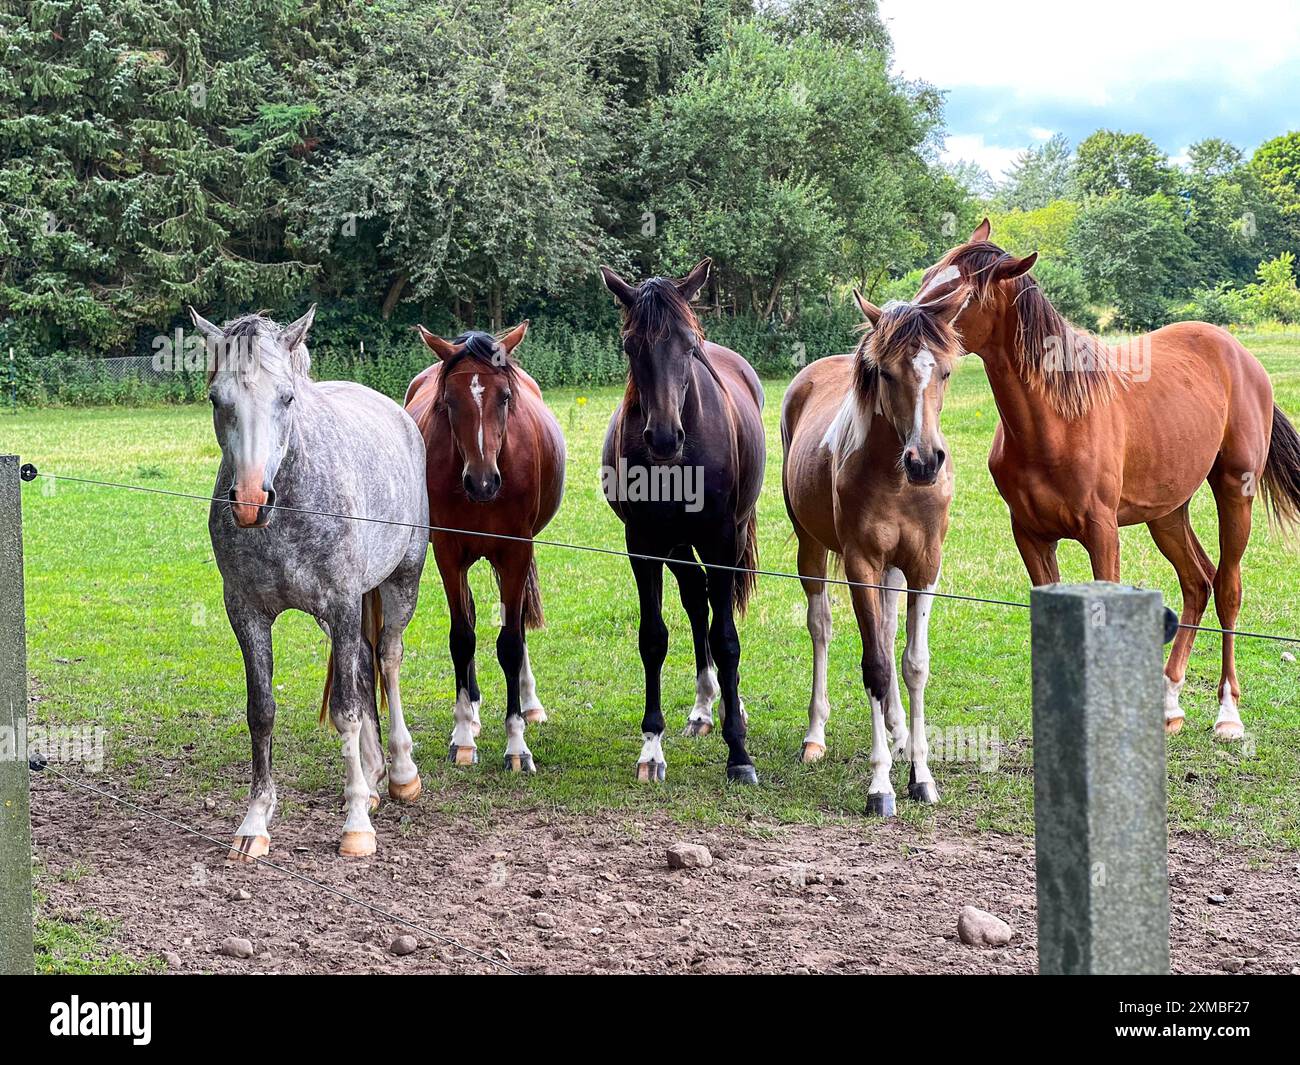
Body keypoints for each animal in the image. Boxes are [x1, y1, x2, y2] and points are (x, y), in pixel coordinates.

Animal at [191, 305, 429, 861]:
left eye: (287, 397)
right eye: (217, 399)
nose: (251, 501)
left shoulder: (341, 603)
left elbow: (346, 711)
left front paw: (357, 824)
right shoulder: (247, 613)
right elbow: (262, 711)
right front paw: (255, 822)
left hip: (402, 580)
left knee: (388, 658)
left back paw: (401, 774)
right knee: (362, 663)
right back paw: (374, 774)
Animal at [404, 322, 566, 773]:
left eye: (505, 397)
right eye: (448, 401)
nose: (482, 482)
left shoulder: (516, 552)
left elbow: (511, 641)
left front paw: (517, 745)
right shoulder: (447, 552)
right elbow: (462, 637)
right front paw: (462, 737)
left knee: (519, 624)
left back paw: (530, 704)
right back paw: (473, 712)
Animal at [599, 258, 766, 784]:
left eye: (688, 345)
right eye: (630, 345)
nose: (665, 438)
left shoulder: (721, 541)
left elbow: (727, 638)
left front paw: (740, 753)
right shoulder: (644, 543)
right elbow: (653, 638)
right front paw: (652, 746)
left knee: (710, 605)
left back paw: (727, 707)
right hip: (676, 545)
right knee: (695, 597)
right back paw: (704, 706)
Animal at [782, 289, 965, 815]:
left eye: (945, 372)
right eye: (885, 373)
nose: (925, 461)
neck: (897, 478)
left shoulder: (924, 566)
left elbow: (913, 664)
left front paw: (921, 775)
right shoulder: (860, 565)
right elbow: (877, 667)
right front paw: (881, 785)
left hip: (894, 571)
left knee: (885, 628)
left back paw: (897, 730)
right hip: (812, 549)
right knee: (821, 627)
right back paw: (815, 736)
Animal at [913, 218, 1300, 739]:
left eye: (960, 292)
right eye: (928, 276)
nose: (895, 328)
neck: (1056, 422)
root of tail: (1240, 355)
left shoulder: (1102, 533)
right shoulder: (1031, 536)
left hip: (1234, 492)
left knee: (1228, 589)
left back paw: (1227, 714)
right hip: (1167, 513)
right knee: (1197, 582)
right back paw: (1169, 704)